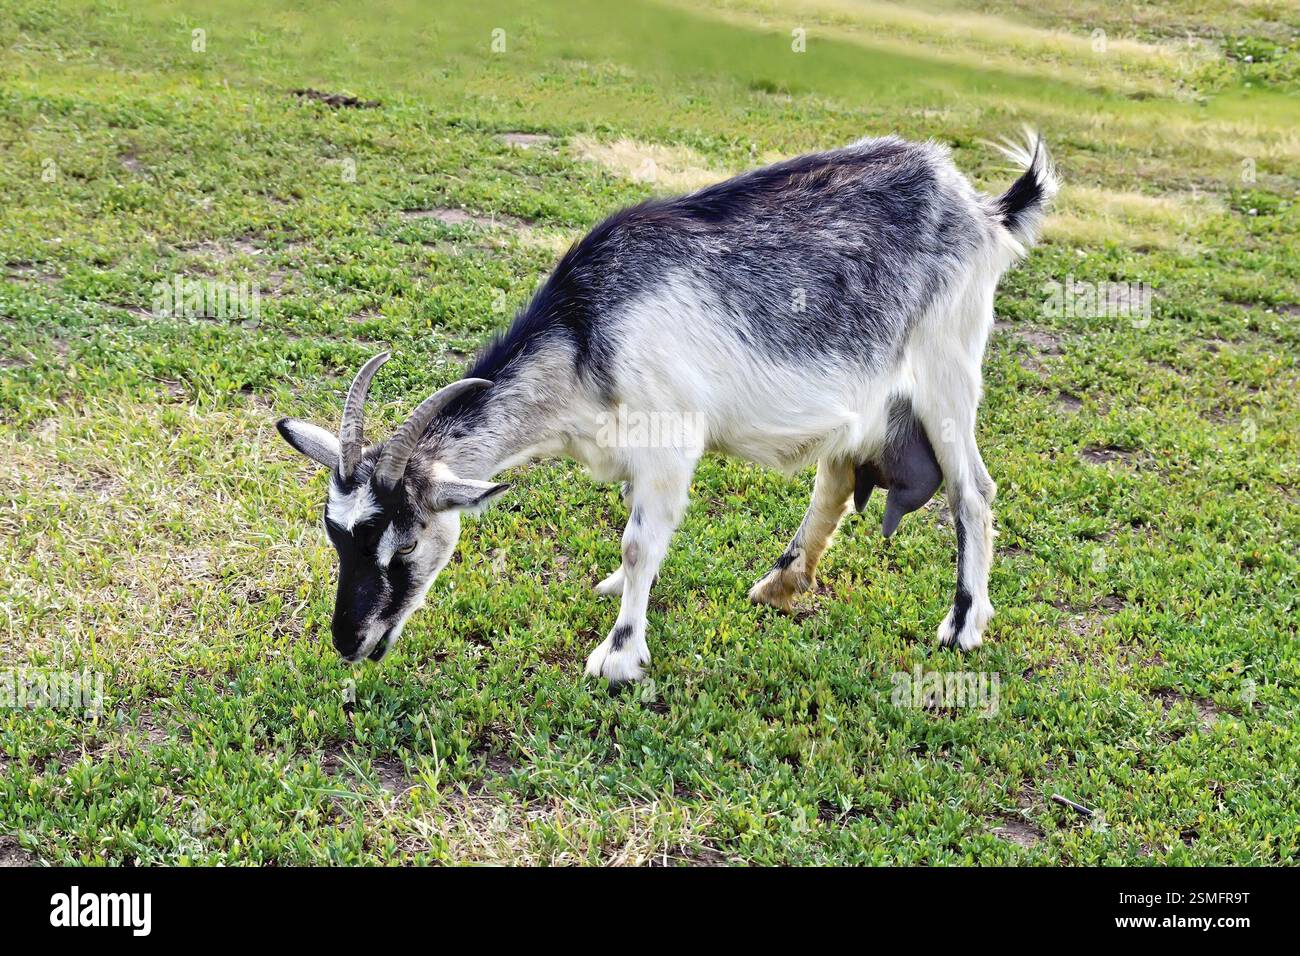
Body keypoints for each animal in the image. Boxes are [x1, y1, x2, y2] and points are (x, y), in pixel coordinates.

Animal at [277, 131, 1058, 683]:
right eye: (335, 537)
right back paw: (783, 582)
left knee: (973, 490)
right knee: (837, 474)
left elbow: (640, 538)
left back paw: (963, 625)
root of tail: (981, 210)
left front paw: (619, 657)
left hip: (947, 364)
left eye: (406, 545)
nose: (349, 641)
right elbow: (633, 531)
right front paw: (619, 590)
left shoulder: (670, 440)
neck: (586, 331)